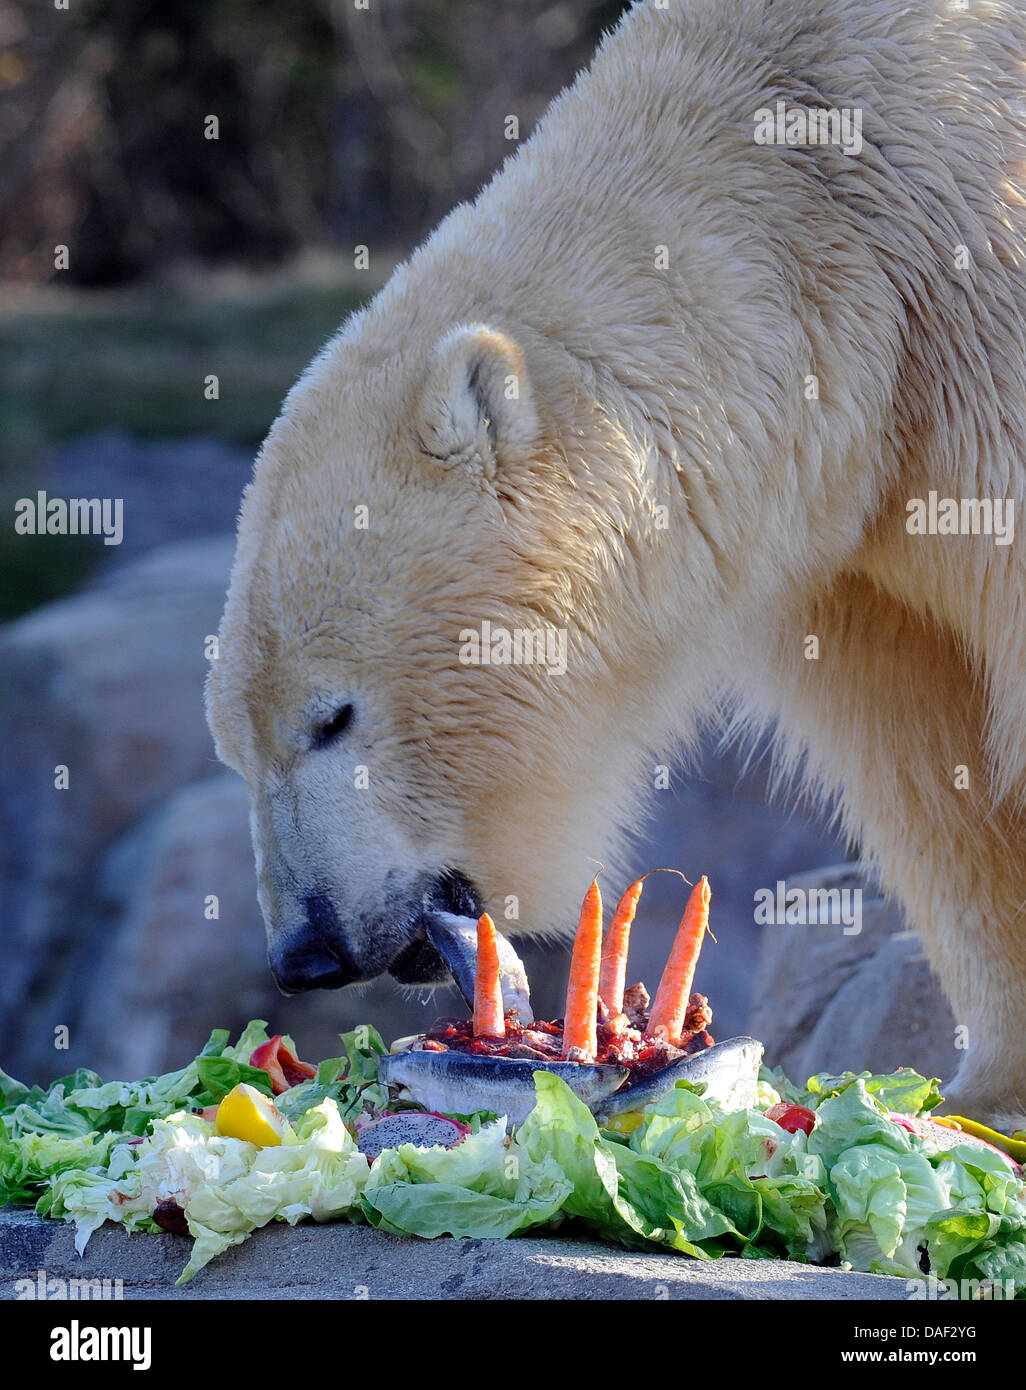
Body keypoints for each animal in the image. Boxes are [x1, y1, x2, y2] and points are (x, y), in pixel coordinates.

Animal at [206, 0, 1026, 1130]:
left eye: (333, 717)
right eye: (233, 748)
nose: (310, 949)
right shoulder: (860, 517)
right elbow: (925, 758)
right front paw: (989, 1092)